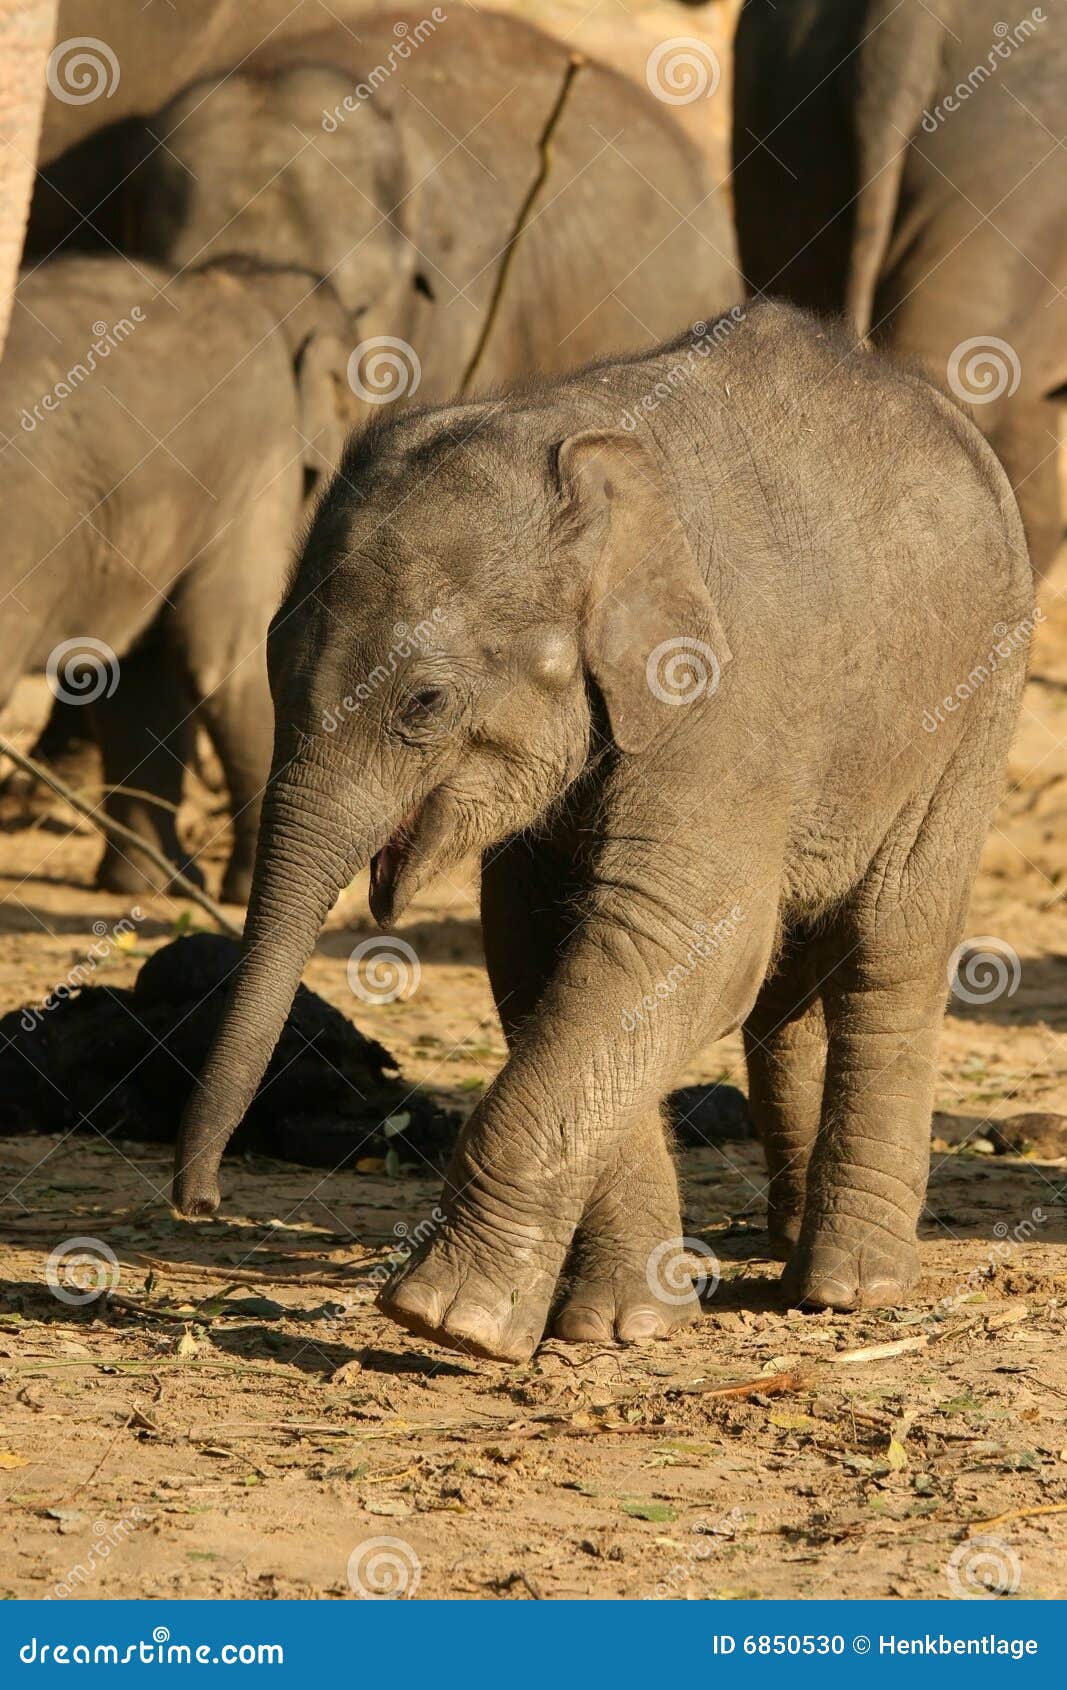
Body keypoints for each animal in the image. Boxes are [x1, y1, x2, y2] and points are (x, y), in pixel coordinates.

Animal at [171, 300, 1033, 1359]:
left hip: (977, 702)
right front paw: (624, 1325)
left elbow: (678, 946)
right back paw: (786, 1245)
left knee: (890, 950)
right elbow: (546, 956)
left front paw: (447, 1322)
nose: (199, 1203)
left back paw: (848, 1291)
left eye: (423, 702)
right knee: (790, 979)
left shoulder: (723, 703)